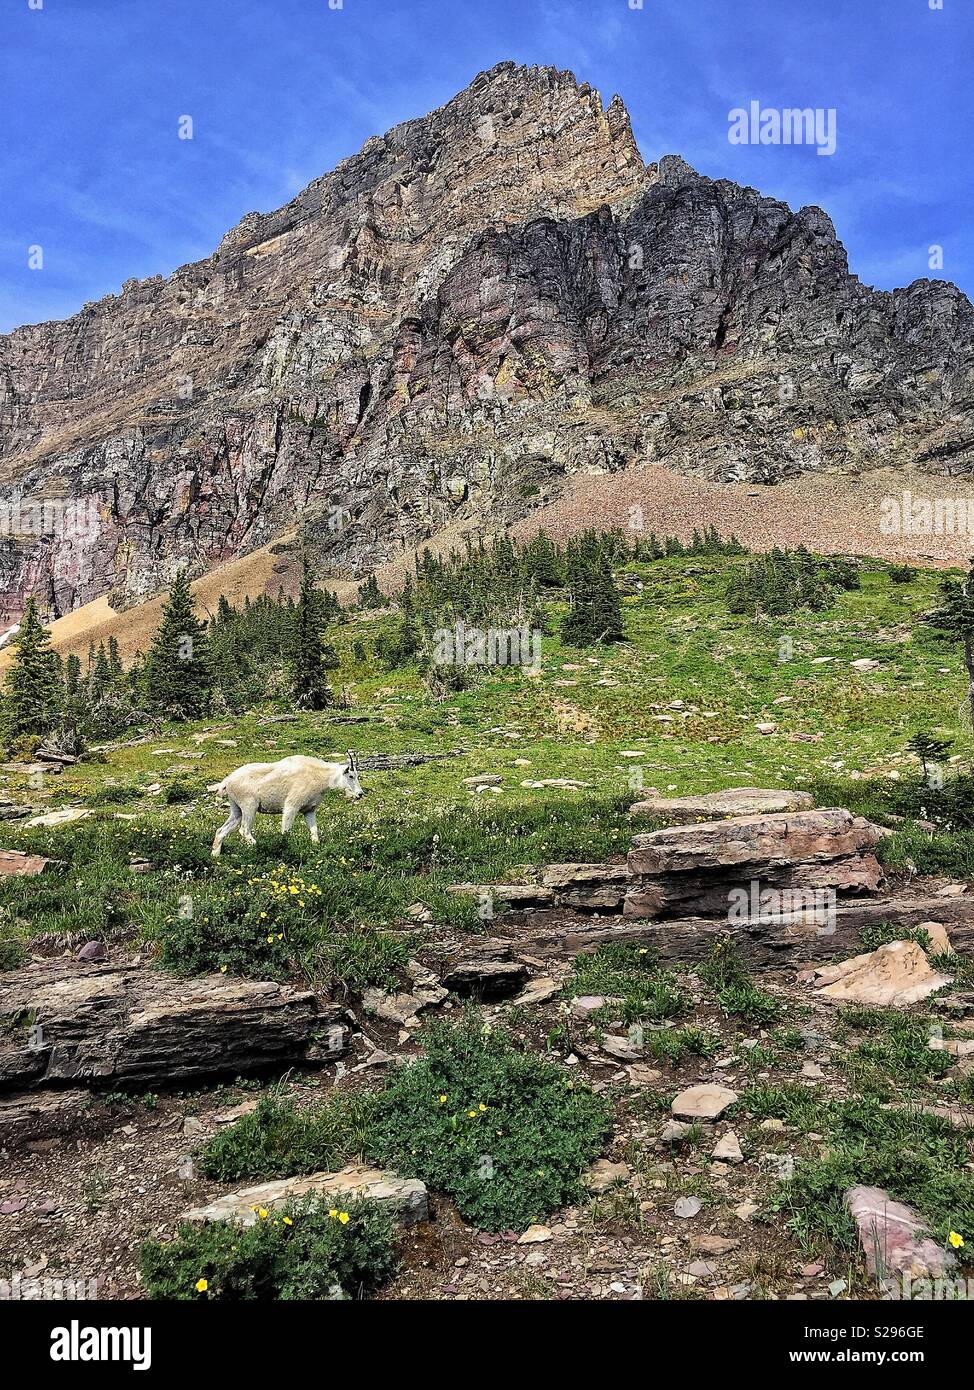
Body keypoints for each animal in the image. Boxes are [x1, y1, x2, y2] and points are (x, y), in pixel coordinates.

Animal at [211, 750, 364, 857]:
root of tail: (227, 781)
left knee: (221, 831)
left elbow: (314, 832)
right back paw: (256, 846)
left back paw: (215, 856)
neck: (319, 776)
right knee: (244, 830)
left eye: (357, 776)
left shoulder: (309, 810)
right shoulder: (292, 806)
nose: (360, 794)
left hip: (236, 809)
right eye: (351, 776)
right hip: (249, 806)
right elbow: (286, 831)